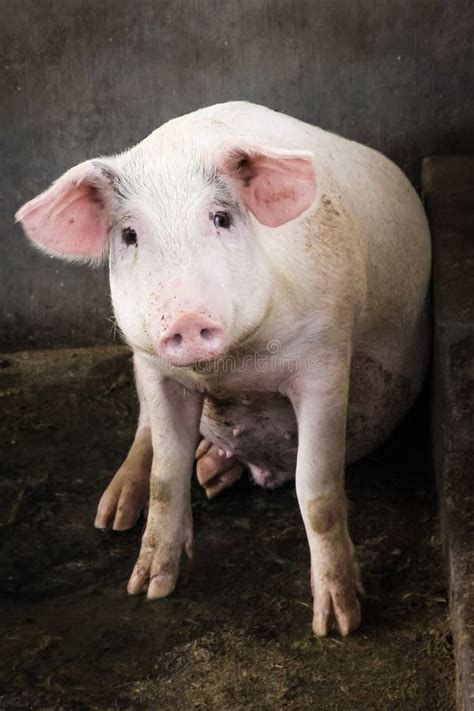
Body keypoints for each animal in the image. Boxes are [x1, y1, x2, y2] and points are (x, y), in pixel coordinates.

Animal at [15, 102, 431, 636]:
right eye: (129, 234)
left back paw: (209, 473)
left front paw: (339, 623)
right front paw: (147, 589)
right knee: (144, 436)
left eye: (221, 218)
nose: (187, 319)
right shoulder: (156, 367)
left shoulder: (325, 357)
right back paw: (116, 514)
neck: (232, 370)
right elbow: (166, 477)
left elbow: (316, 491)